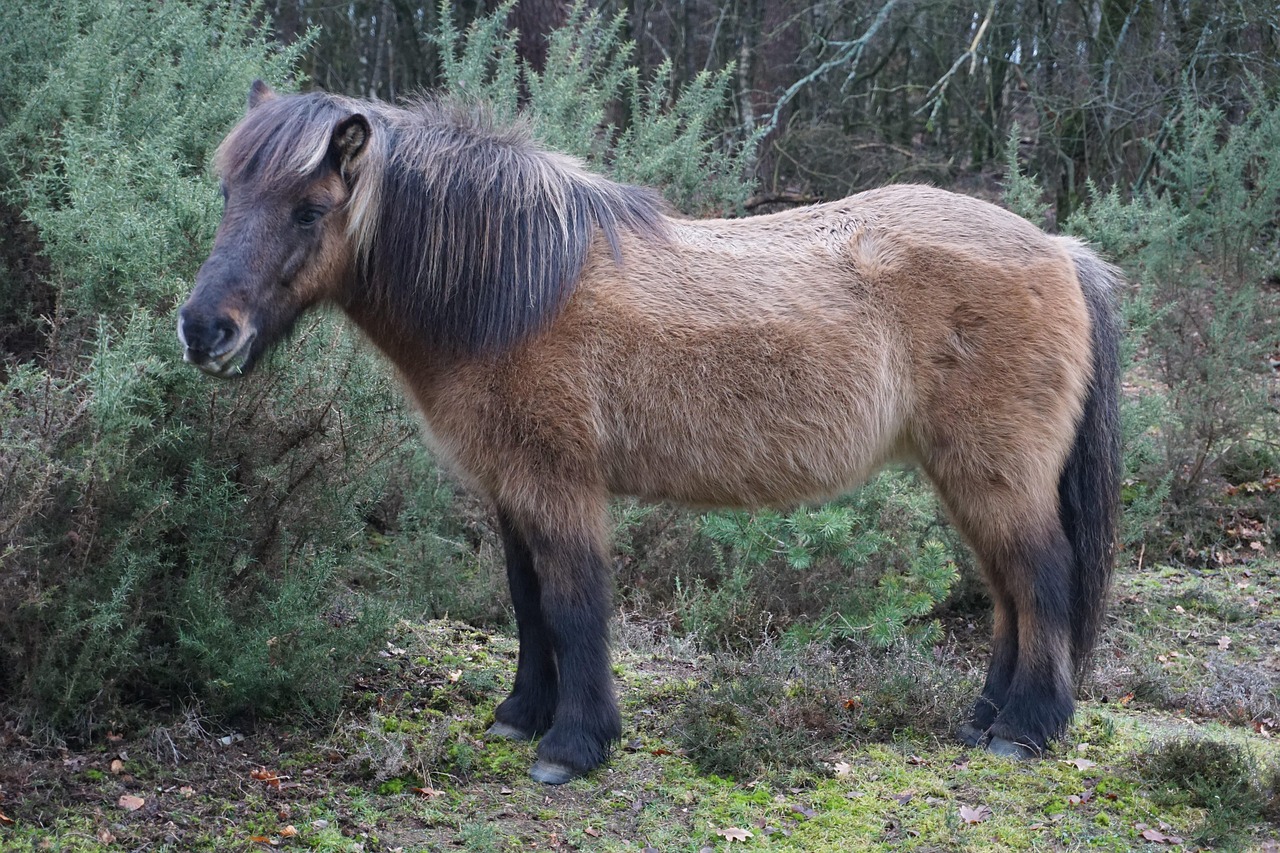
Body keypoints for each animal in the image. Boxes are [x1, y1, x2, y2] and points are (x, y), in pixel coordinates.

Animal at [178, 81, 1121, 785]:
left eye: (309, 209)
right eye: (227, 191)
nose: (203, 330)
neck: (516, 288)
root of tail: (1060, 248)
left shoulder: (558, 483)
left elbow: (574, 602)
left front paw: (574, 745)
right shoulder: (510, 489)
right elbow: (526, 601)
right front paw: (522, 716)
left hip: (993, 471)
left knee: (1041, 578)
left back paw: (1027, 728)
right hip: (969, 475)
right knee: (1008, 591)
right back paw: (985, 717)